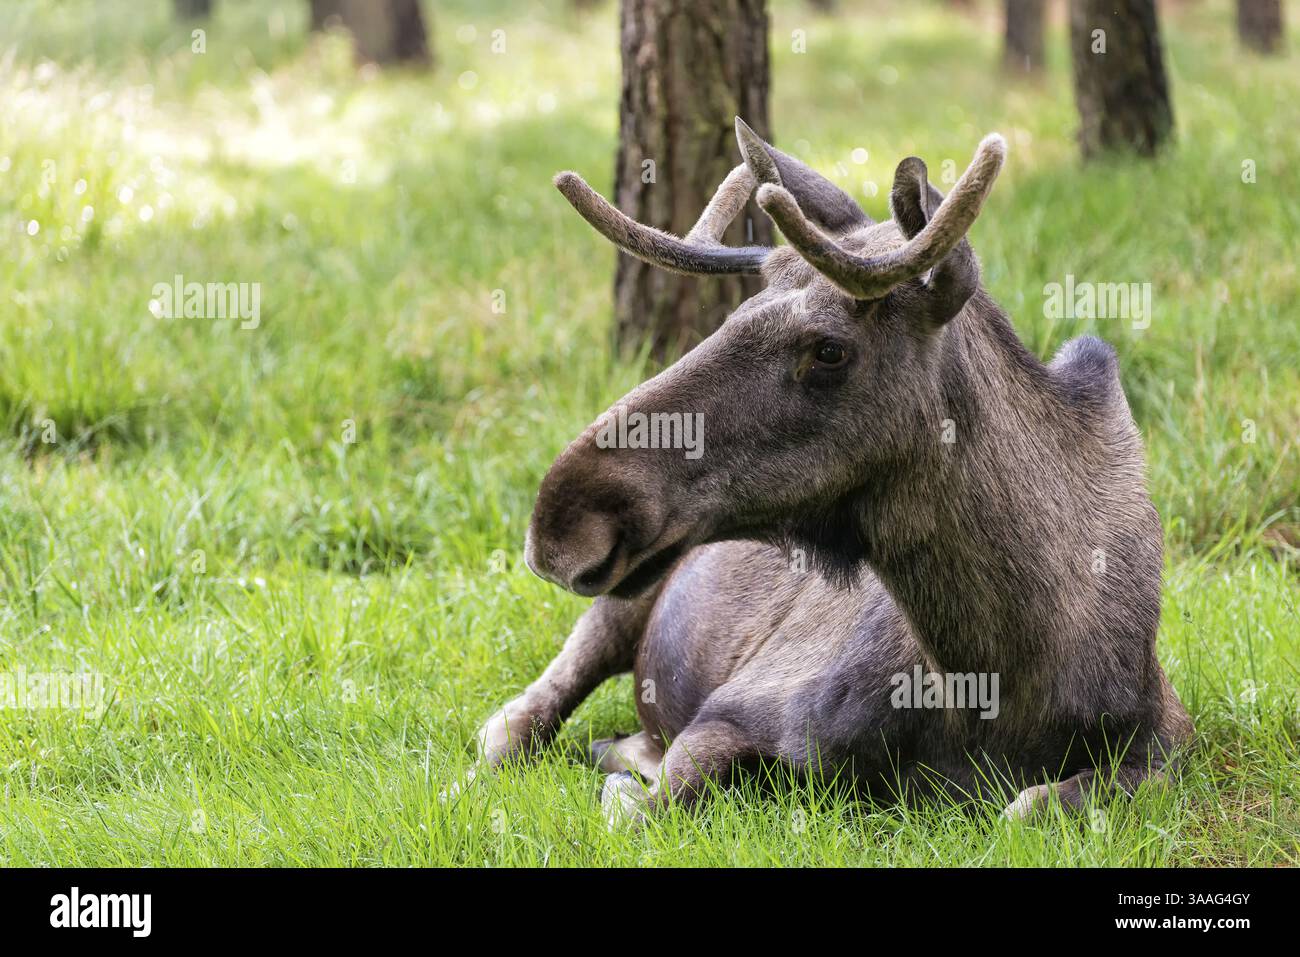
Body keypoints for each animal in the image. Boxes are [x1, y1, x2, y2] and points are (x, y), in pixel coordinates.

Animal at [456, 119, 1193, 826]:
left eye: (829, 350)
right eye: (734, 315)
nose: (562, 521)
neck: (997, 677)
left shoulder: (1163, 746)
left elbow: (1029, 806)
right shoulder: (733, 709)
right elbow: (644, 806)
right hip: (621, 608)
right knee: (512, 725)